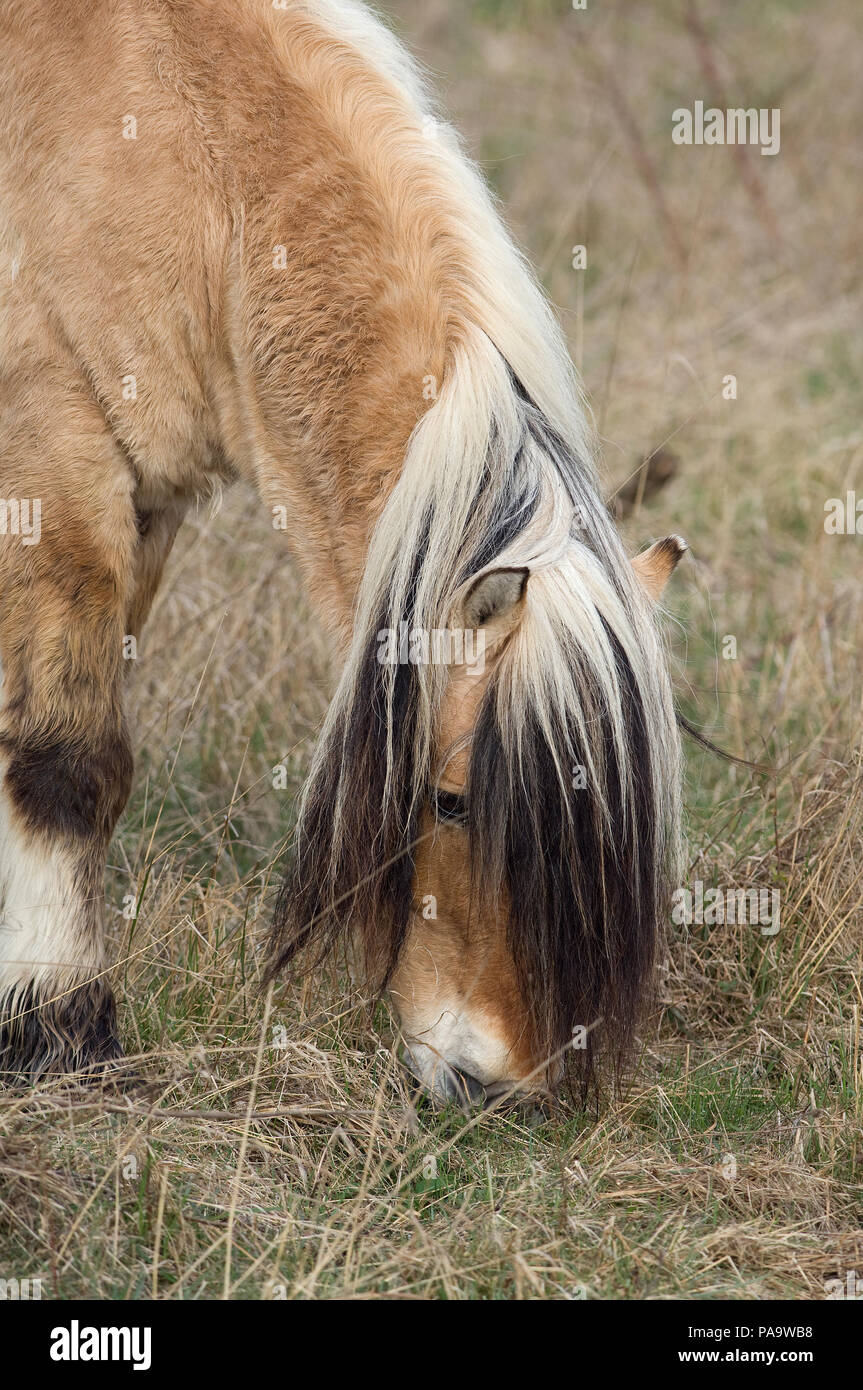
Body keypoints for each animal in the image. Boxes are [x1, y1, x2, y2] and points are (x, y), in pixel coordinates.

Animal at [0, 0, 685, 1103]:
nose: (495, 1088)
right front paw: (56, 1024)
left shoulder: (147, 510)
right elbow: (69, 762)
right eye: (450, 802)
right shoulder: (53, 467)